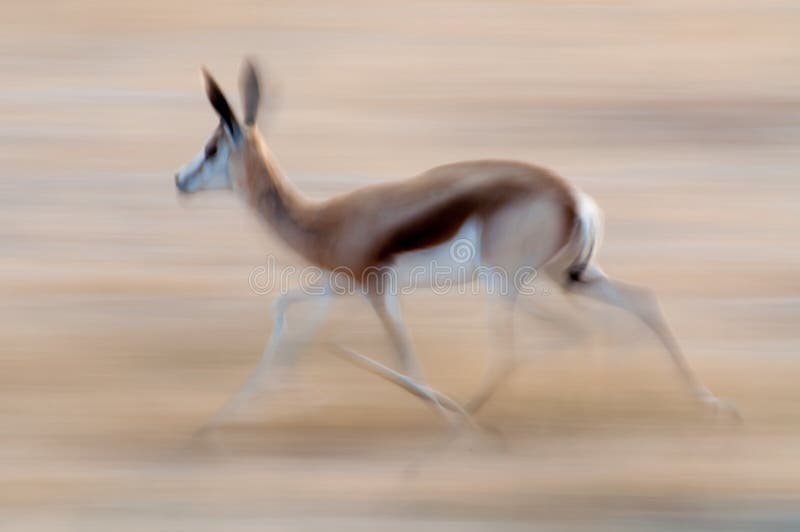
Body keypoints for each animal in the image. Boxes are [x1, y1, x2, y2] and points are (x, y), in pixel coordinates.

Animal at [175, 59, 738, 431]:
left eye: (212, 147)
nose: (180, 180)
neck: (321, 219)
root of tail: (573, 195)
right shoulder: (338, 286)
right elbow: (285, 321)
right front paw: (220, 421)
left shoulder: (373, 288)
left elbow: (402, 358)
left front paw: (440, 412)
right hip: (565, 277)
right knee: (639, 302)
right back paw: (705, 403)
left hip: (508, 283)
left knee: (538, 342)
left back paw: (471, 417)